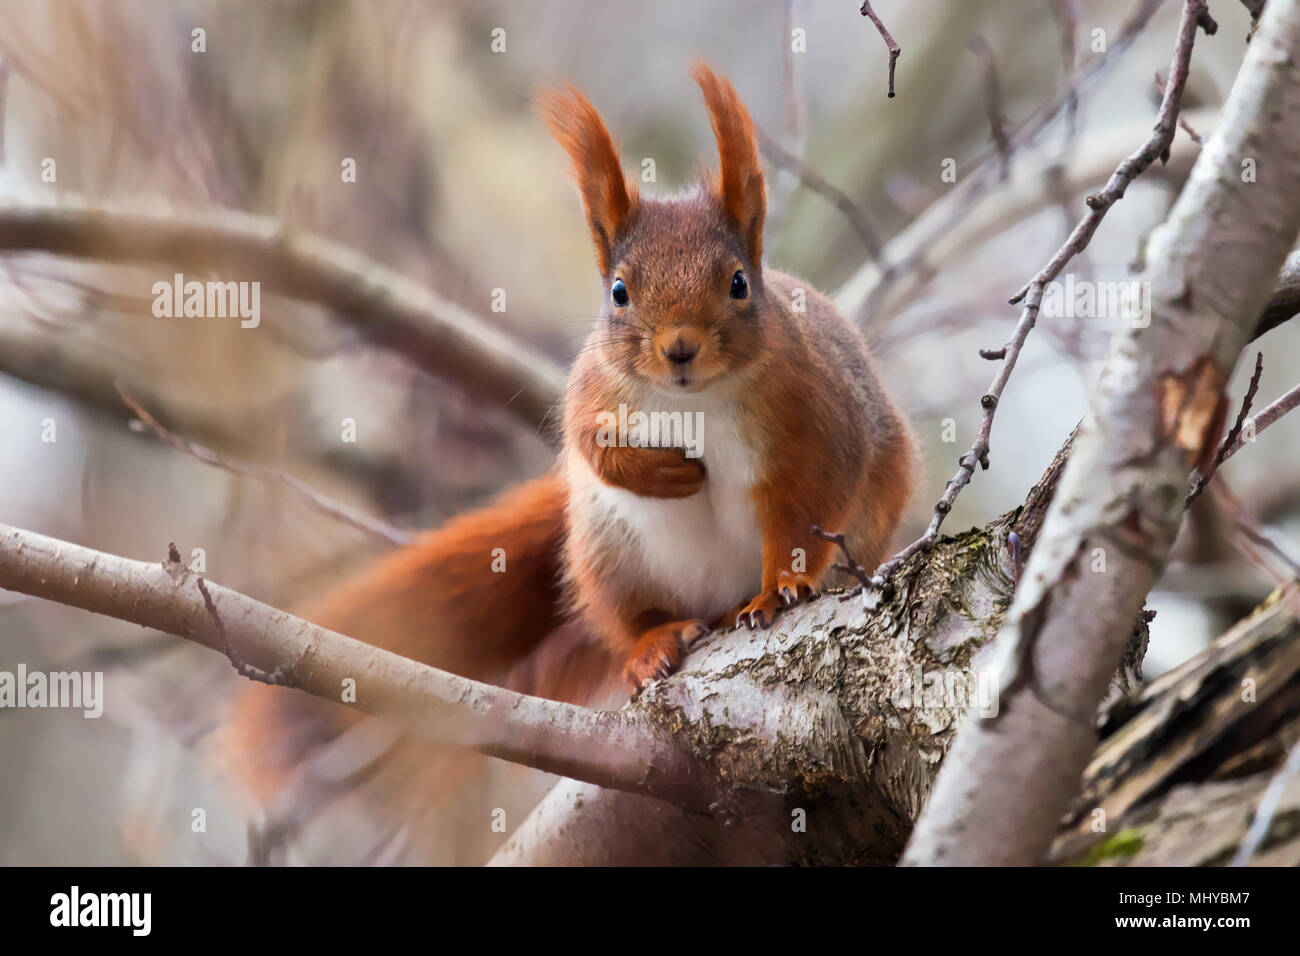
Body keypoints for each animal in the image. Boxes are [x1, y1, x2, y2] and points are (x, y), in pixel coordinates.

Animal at [222, 66, 915, 813]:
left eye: (737, 283)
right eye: (618, 291)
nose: (679, 348)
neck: (694, 401)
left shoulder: (815, 418)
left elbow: (809, 504)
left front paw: (782, 587)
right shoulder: (593, 393)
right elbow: (592, 449)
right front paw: (669, 475)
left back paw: (744, 602)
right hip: (607, 555)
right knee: (627, 618)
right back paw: (654, 641)